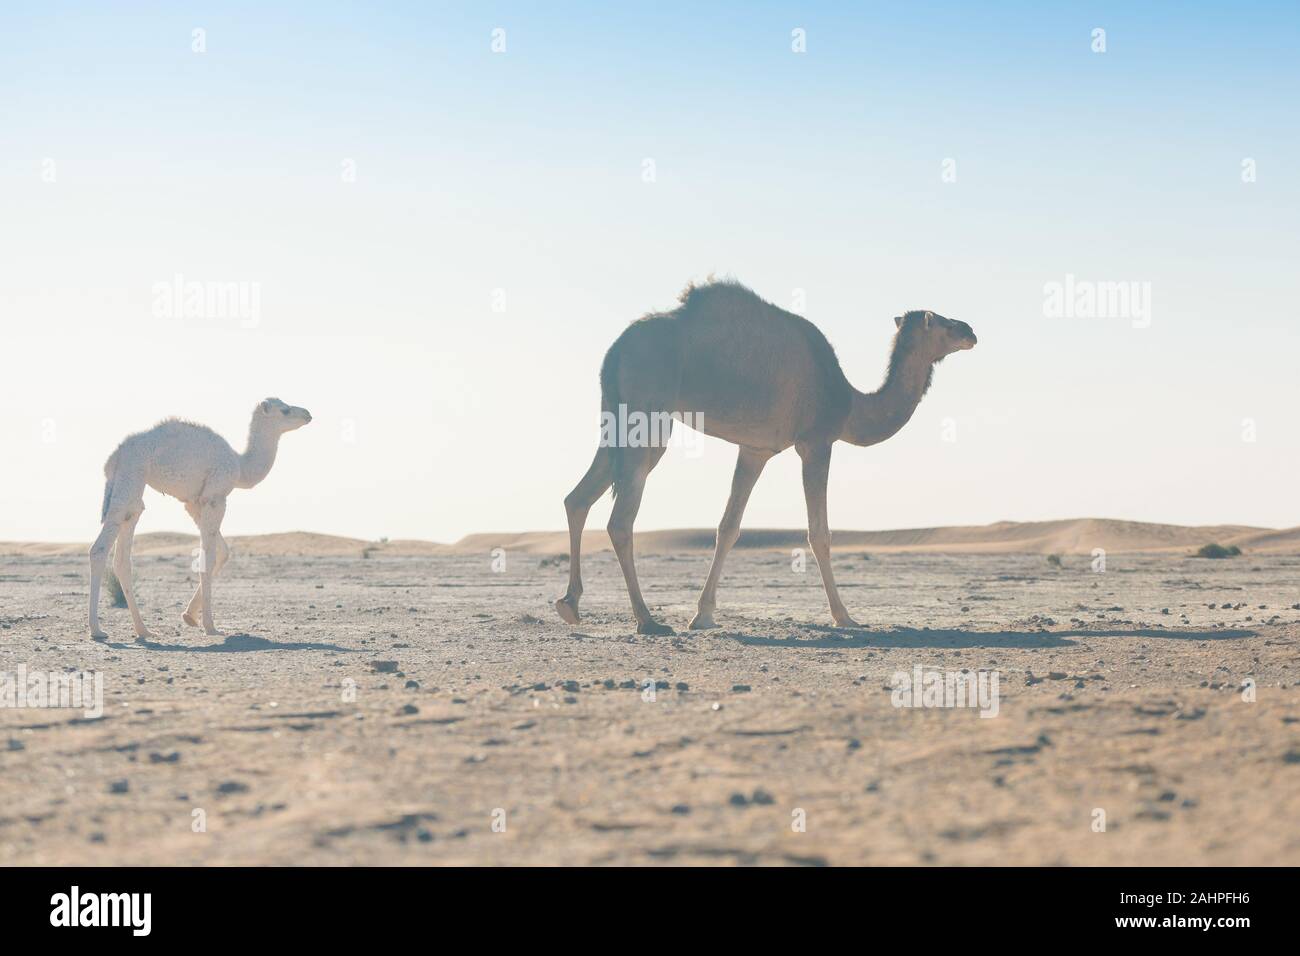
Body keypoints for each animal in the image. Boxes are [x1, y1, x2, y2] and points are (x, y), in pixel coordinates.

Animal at [88, 398, 312, 640]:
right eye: (285, 410)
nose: (307, 414)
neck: (240, 466)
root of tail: (114, 456)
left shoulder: (195, 502)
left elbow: (223, 552)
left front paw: (189, 616)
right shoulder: (215, 497)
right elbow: (209, 557)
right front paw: (210, 626)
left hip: (132, 489)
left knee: (123, 554)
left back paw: (144, 630)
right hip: (131, 474)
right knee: (100, 549)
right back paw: (97, 629)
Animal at [554, 280, 977, 635]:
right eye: (941, 323)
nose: (971, 330)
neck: (849, 403)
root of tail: (615, 349)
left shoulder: (756, 450)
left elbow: (728, 527)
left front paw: (703, 615)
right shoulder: (816, 442)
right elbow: (819, 533)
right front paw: (844, 616)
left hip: (616, 419)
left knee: (577, 498)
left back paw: (570, 604)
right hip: (650, 418)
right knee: (621, 519)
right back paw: (647, 620)